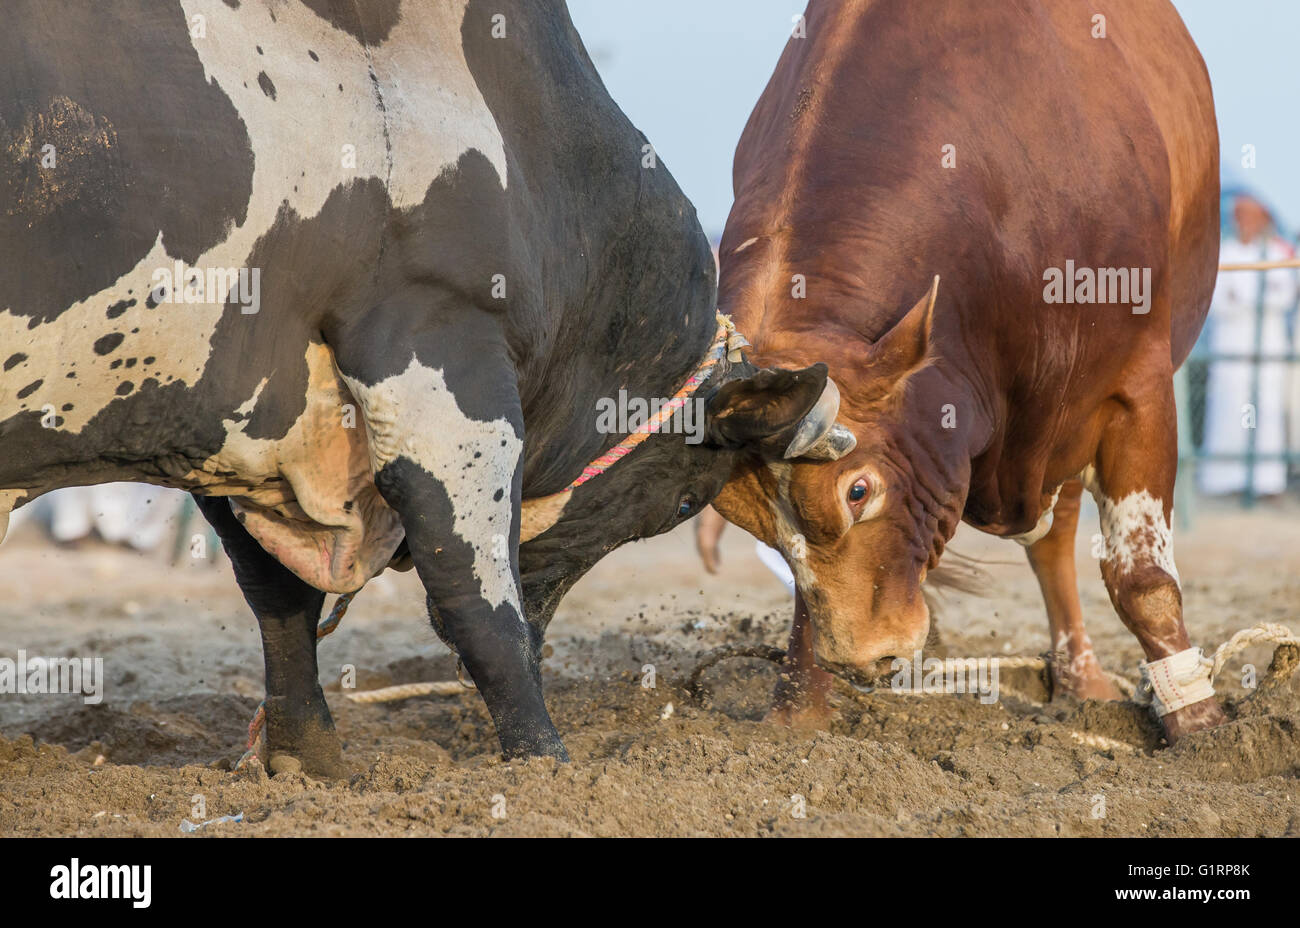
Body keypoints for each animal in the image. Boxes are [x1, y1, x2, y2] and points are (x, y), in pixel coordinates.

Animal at [0, 0, 846, 771]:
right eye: (681, 500)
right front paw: (547, 765)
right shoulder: (438, 351)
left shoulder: (239, 419)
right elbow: (478, 598)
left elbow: (279, 598)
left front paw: (308, 766)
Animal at [696, 0, 1224, 744]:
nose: (867, 656)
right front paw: (797, 711)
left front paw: (1200, 725)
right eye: (752, 522)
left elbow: (1142, 579)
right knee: (1052, 540)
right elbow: (808, 594)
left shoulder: (1134, 389)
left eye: (858, 490)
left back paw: (1089, 680)